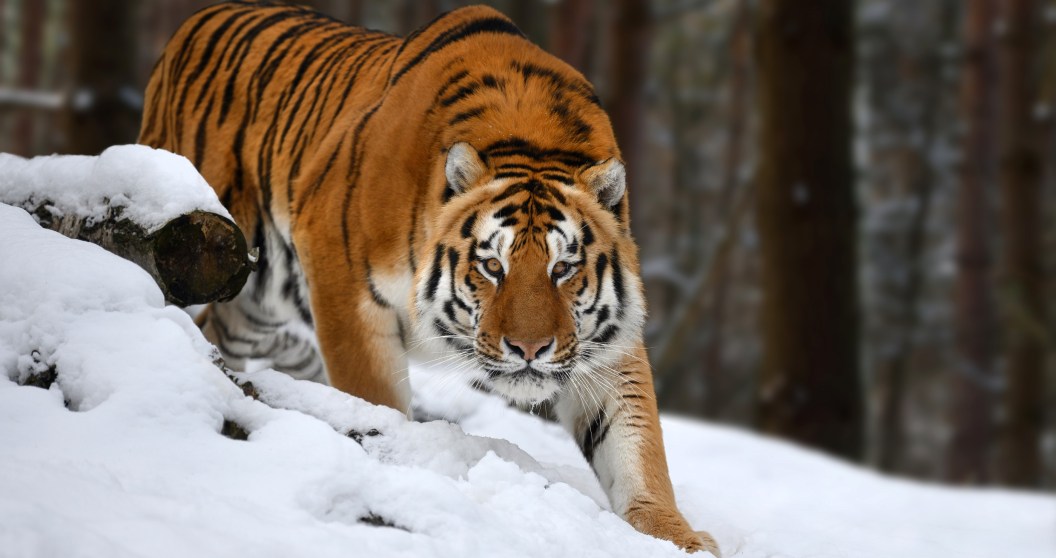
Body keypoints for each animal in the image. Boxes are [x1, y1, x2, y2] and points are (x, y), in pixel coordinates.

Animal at [139, 2, 719, 554]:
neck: (530, 138)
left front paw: (677, 535)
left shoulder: (603, 341)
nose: (529, 349)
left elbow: (635, 441)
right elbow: (375, 396)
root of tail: (195, 20)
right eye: (492, 266)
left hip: (250, 295)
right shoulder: (344, 284)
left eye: (563, 269)